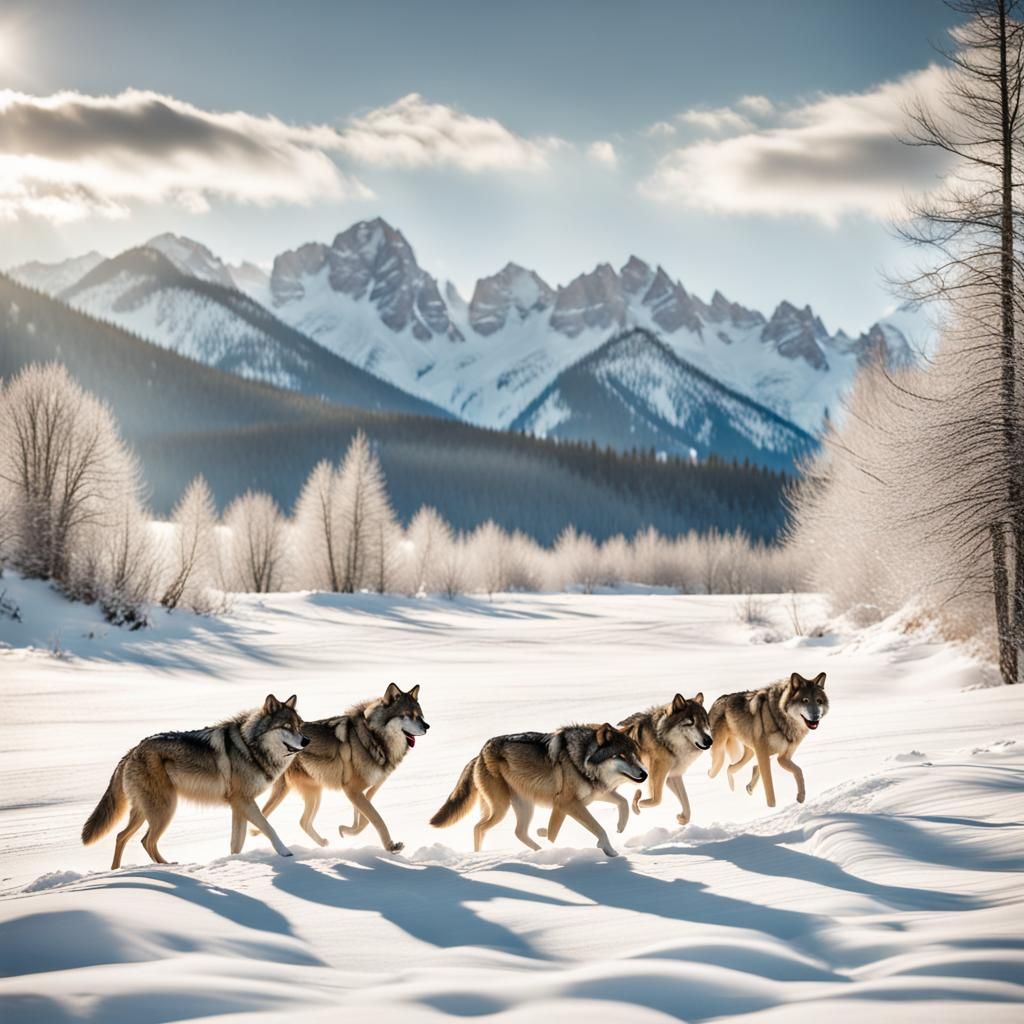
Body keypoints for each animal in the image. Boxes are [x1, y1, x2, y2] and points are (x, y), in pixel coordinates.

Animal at [82, 694, 308, 869]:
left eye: (300, 726)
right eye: (287, 726)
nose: (307, 740)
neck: (250, 746)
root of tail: (132, 751)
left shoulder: (239, 806)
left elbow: (237, 842)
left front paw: (234, 861)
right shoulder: (244, 801)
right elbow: (269, 828)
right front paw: (285, 853)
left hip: (146, 813)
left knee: (122, 836)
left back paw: (116, 870)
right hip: (165, 810)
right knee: (146, 841)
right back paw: (168, 867)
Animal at [256, 683, 428, 853]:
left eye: (420, 715)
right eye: (408, 715)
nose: (427, 726)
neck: (374, 738)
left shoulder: (366, 790)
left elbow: (364, 821)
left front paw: (345, 830)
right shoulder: (352, 789)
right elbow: (376, 819)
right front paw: (390, 847)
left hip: (315, 794)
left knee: (302, 822)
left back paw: (323, 844)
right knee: (267, 816)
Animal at [430, 723, 648, 857]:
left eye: (635, 754)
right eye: (621, 755)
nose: (645, 774)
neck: (581, 758)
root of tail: (479, 754)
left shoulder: (587, 798)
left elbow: (623, 802)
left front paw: (620, 826)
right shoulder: (567, 803)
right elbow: (597, 828)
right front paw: (609, 851)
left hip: (524, 807)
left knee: (518, 832)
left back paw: (539, 850)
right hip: (502, 809)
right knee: (478, 827)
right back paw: (479, 855)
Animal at [619, 692, 712, 825]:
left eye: (704, 721)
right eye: (690, 722)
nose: (709, 741)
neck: (666, 743)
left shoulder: (673, 776)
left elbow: (686, 804)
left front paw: (682, 818)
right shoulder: (656, 776)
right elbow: (655, 800)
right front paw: (635, 804)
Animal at [708, 672, 829, 807]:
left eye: (819, 701)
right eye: (805, 700)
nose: (816, 716)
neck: (781, 718)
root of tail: (718, 700)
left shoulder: (783, 758)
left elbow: (799, 771)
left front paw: (801, 797)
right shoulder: (765, 754)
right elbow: (769, 788)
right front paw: (772, 807)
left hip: (748, 753)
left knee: (732, 767)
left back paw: (739, 788)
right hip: (720, 755)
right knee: (712, 772)